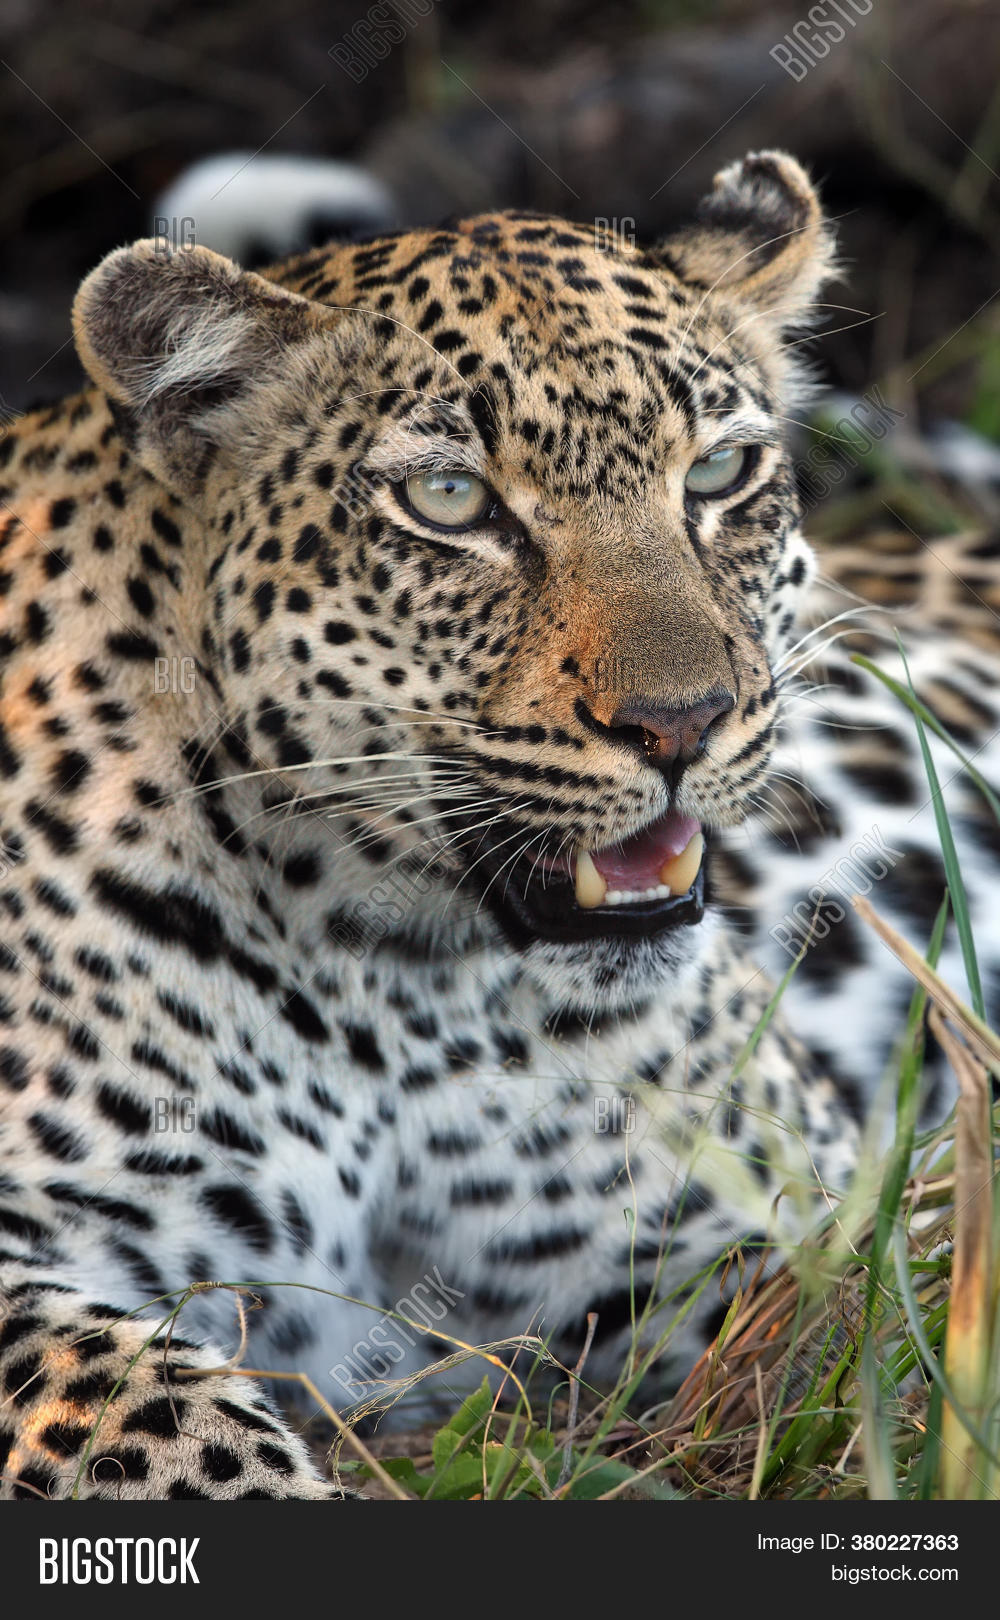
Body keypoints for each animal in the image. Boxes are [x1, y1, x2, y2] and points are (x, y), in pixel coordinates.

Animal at [1, 150, 998, 1501]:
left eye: (716, 476)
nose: (681, 723)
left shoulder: (785, 1233)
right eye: (449, 500)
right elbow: (155, 1416)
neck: (384, 986)